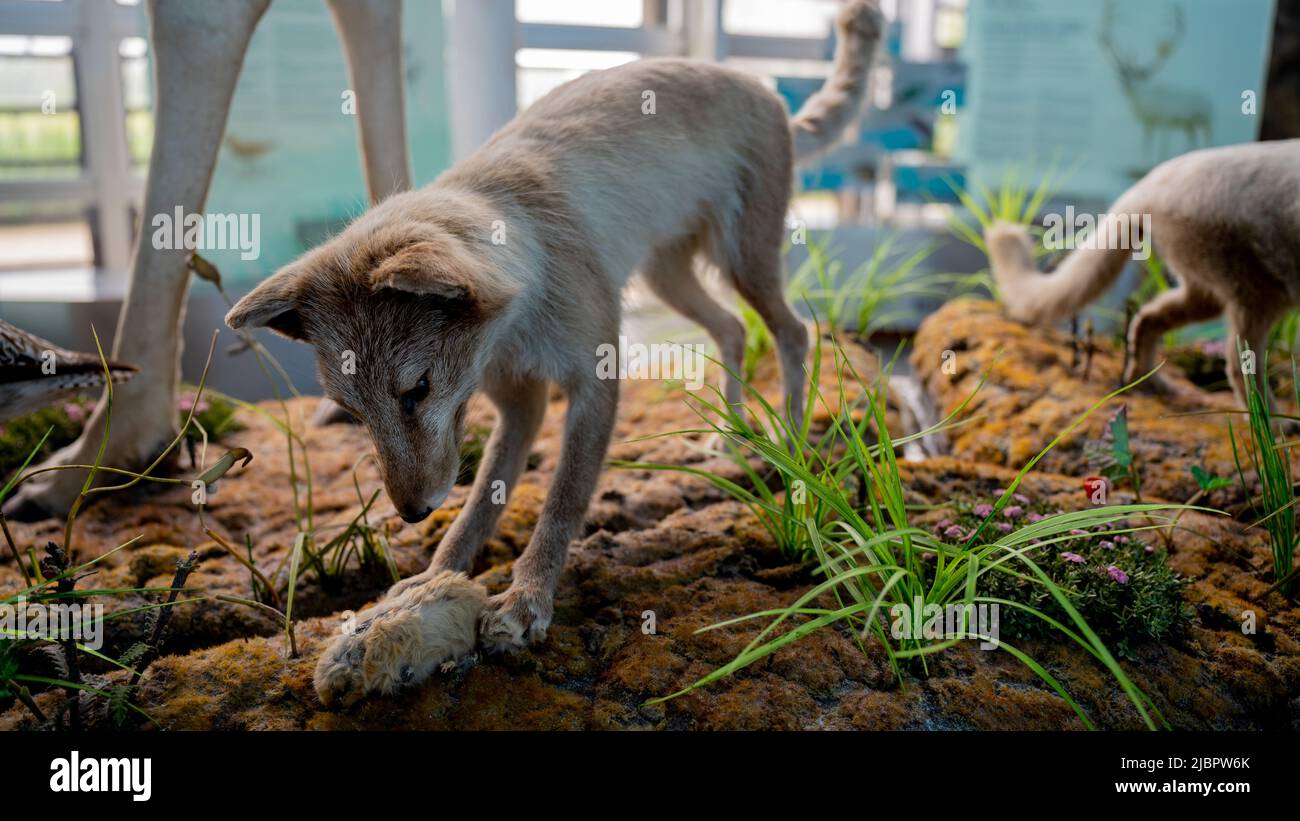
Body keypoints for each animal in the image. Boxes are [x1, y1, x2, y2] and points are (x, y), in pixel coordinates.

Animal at [226, 2, 885, 703]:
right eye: (352, 415)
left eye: (415, 390)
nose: (409, 513)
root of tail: (763, 89)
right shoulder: (520, 407)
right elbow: (477, 512)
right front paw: (428, 584)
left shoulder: (595, 385)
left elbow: (562, 502)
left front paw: (527, 599)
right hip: (670, 278)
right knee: (733, 331)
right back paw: (731, 435)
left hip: (745, 265)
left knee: (794, 332)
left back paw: (788, 437)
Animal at [984, 139, 1300, 408]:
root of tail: (1149, 181)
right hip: (1255, 289)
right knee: (1239, 362)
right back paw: (1273, 428)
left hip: (1212, 286)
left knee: (1148, 318)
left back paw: (1147, 383)